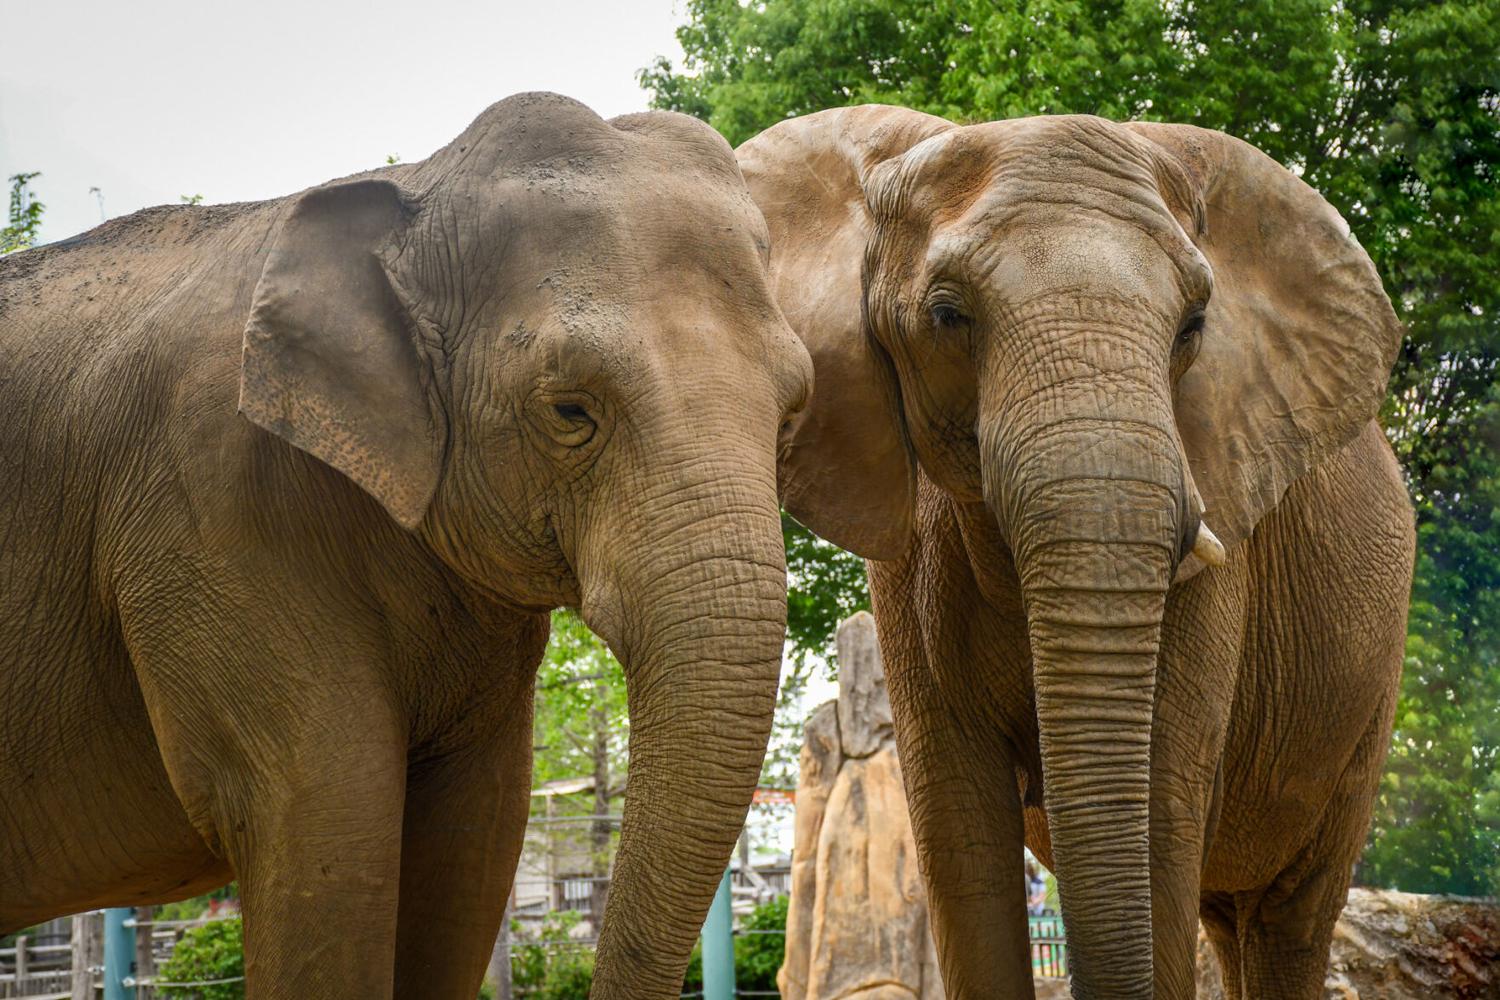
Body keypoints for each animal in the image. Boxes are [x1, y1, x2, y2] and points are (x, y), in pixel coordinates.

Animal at [0, 92, 811, 1000]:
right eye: (570, 410)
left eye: (793, 416)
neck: (413, 188)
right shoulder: (208, 506)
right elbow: (327, 808)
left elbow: (476, 833)